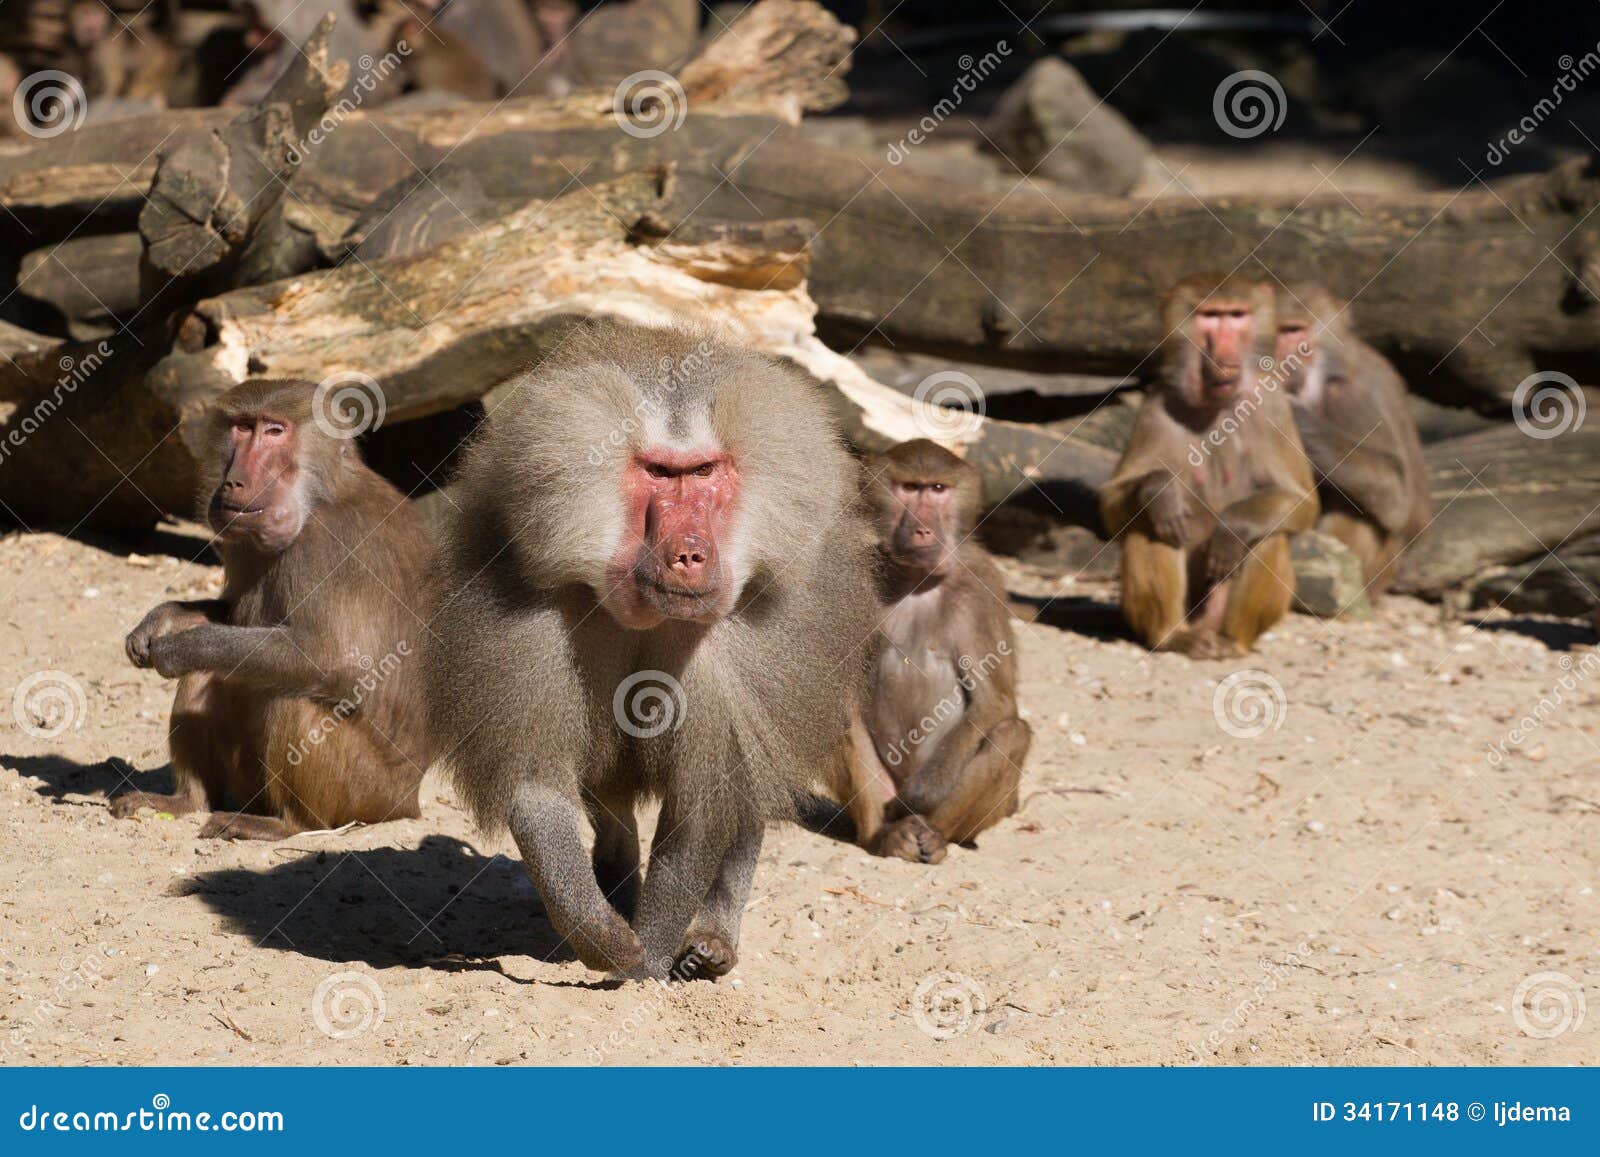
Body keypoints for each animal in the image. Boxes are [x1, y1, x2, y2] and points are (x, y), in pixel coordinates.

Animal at [114, 379, 434, 841]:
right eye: (243, 427)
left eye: (275, 432)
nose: (234, 483)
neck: (319, 498)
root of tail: (409, 802)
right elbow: (231, 614)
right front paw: (161, 620)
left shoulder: (328, 545)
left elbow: (336, 662)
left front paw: (179, 649)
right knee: (208, 677)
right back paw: (187, 802)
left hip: (367, 792)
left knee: (295, 698)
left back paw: (285, 825)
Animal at [425, 323, 879, 982]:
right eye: (659, 473)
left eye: (706, 471)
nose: (689, 554)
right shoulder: (528, 623)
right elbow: (537, 788)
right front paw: (605, 938)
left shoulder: (733, 657)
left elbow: (705, 805)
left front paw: (648, 967)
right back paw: (616, 875)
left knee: (746, 788)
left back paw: (712, 941)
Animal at [821, 440, 1030, 865]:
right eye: (909, 488)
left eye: (938, 489)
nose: (922, 529)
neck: (918, 580)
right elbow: (840, 685)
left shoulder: (982, 587)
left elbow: (995, 701)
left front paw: (920, 796)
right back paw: (883, 837)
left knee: (1011, 732)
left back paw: (933, 835)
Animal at [1100, 274, 1319, 659]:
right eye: (1210, 317)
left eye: (1236, 316)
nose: (1225, 354)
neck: (1215, 405)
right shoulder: (1155, 410)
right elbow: (1113, 507)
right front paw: (1159, 488)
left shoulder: (1272, 406)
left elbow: (1303, 502)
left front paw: (1233, 528)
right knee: (1152, 524)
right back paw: (1172, 636)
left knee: (1269, 536)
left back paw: (1232, 641)